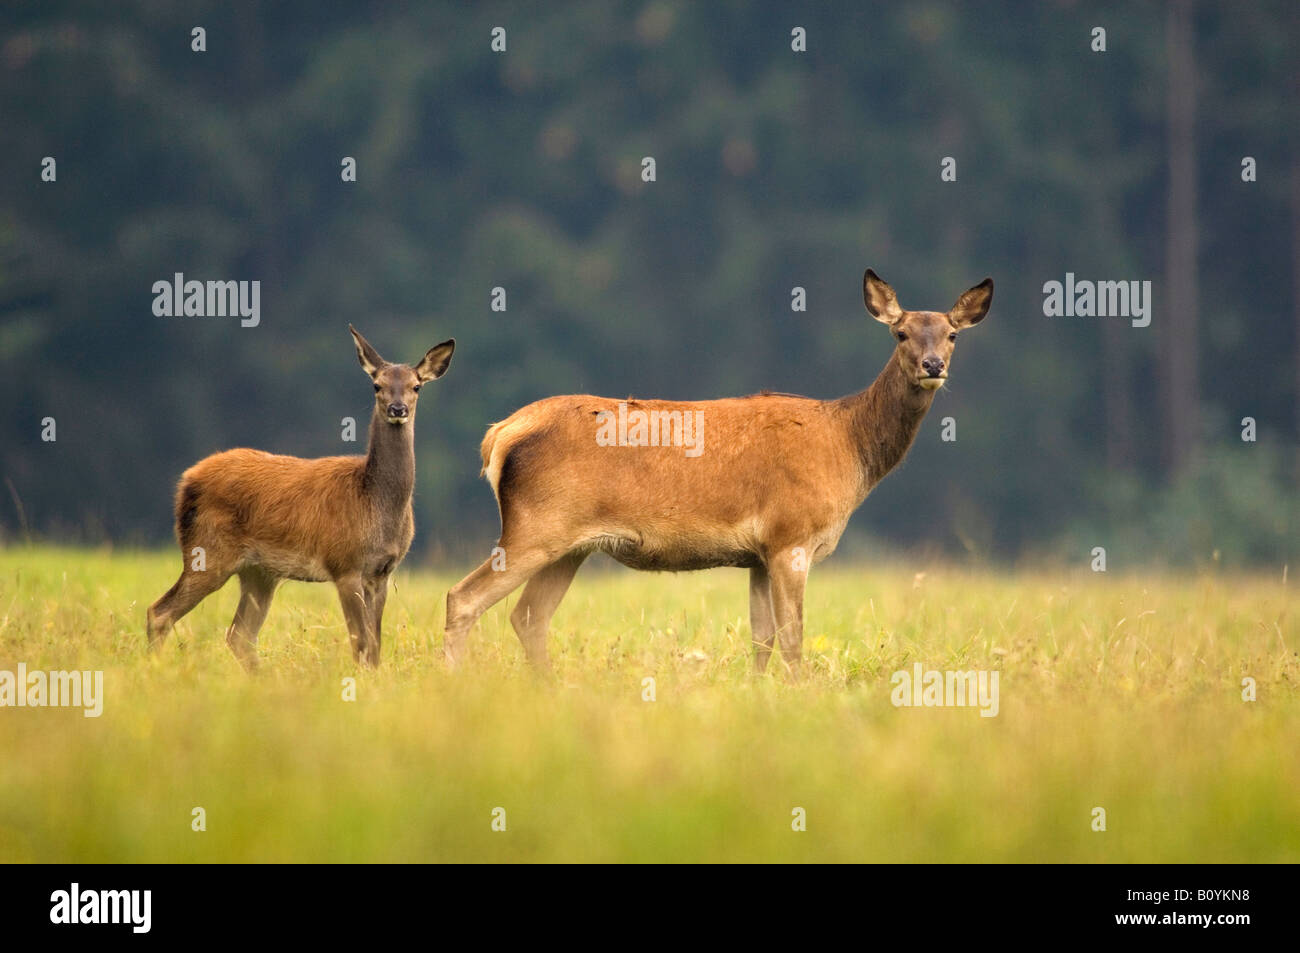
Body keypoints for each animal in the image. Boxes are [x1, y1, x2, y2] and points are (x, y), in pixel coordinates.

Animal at [146, 327, 455, 670]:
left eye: (416, 386)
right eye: (377, 385)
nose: (397, 409)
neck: (373, 500)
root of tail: (187, 480)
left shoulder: (382, 573)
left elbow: (375, 647)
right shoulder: (344, 564)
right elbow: (360, 643)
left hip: (258, 571)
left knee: (239, 635)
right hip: (207, 550)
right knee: (160, 612)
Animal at [443, 269, 992, 673]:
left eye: (952, 334)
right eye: (900, 333)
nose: (933, 365)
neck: (847, 449)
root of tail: (499, 435)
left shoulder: (759, 554)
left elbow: (762, 638)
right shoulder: (791, 536)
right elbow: (793, 636)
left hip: (571, 544)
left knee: (527, 617)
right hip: (537, 525)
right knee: (463, 598)